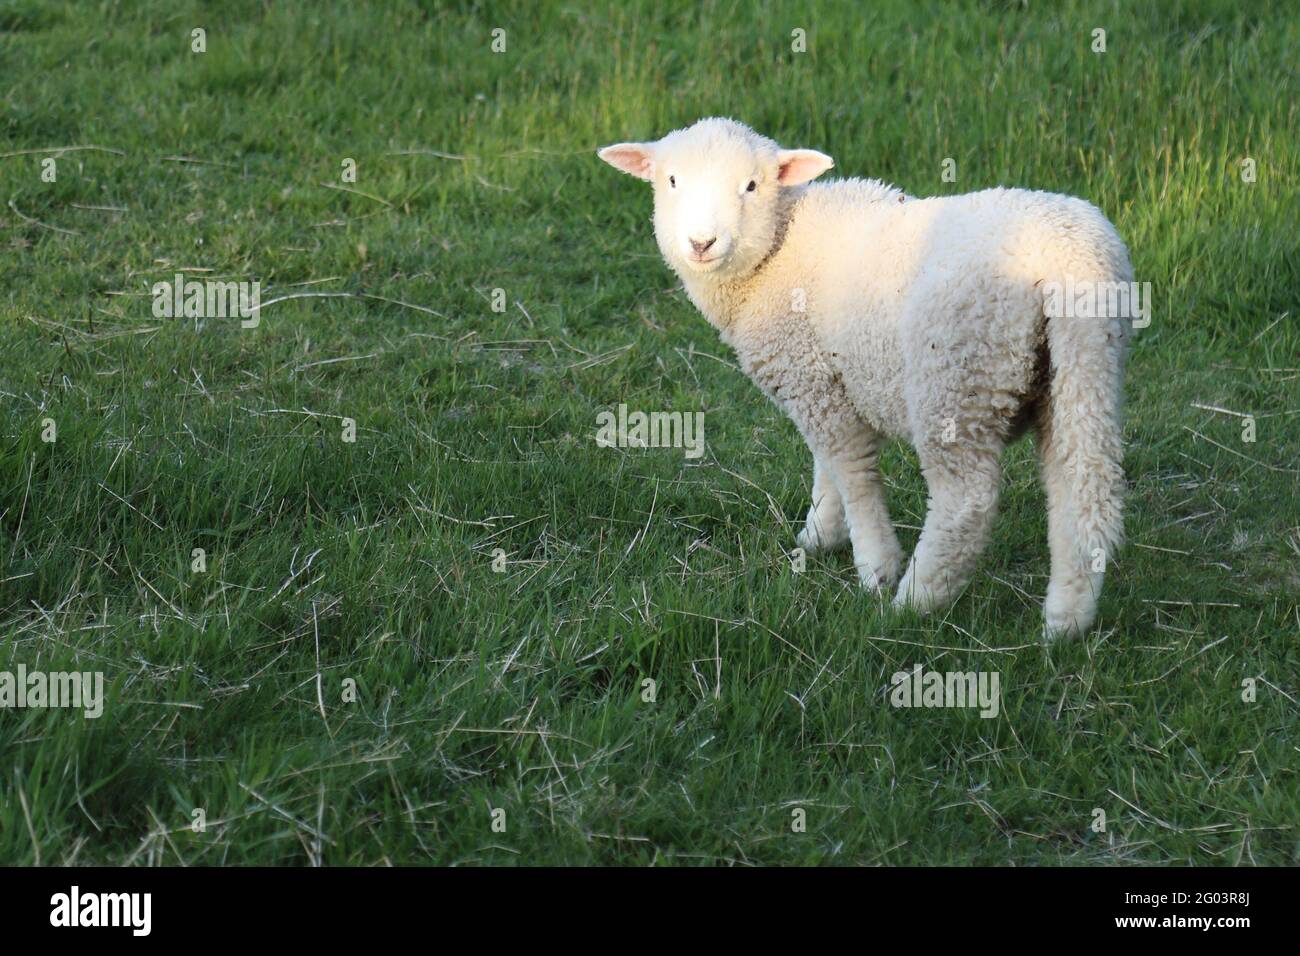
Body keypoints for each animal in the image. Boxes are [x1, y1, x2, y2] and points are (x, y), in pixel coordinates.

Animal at [598, 117, 1133, 638]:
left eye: (751, 185)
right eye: (671, 181)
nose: (702, 243)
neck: (778, 248)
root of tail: (1066, 258)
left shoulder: (809, 375)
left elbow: (848, 467)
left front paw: (873, 566)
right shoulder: (819, 378)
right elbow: (825, 464)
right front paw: (820, 534)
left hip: (957, 375)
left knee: (968, 499)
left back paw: (915, 601)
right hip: (1086, 366)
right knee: (1084, 486)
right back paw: (1067, 619)